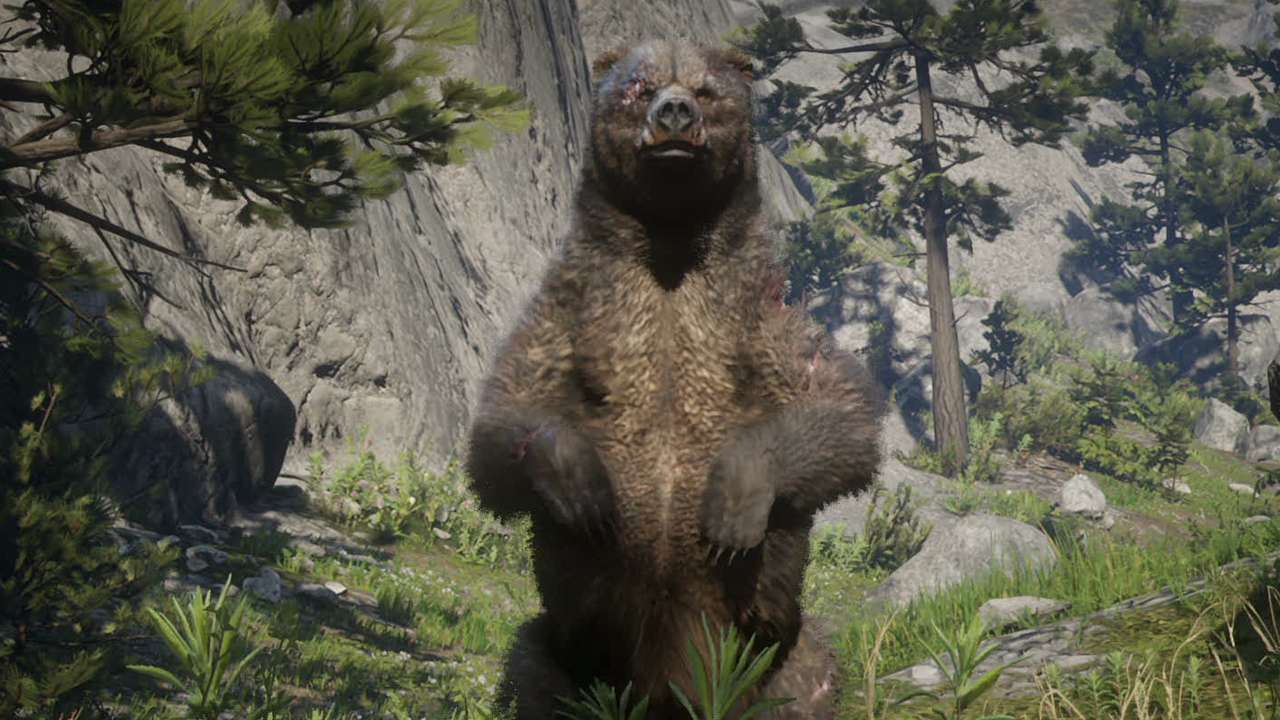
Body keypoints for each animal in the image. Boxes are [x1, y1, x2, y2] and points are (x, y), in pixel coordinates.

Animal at [463, 39, 884, 720]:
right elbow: (504, 423)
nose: (675, 113)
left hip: (775, 657)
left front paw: (731, 509)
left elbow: (838, 413)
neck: (668, 251)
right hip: (566, 653)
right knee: (531, 671)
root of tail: (667, 697)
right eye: (640, 86)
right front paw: (586, 492)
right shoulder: (567, 312)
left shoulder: (760, 318)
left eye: (706, 89)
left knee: (812, 672)